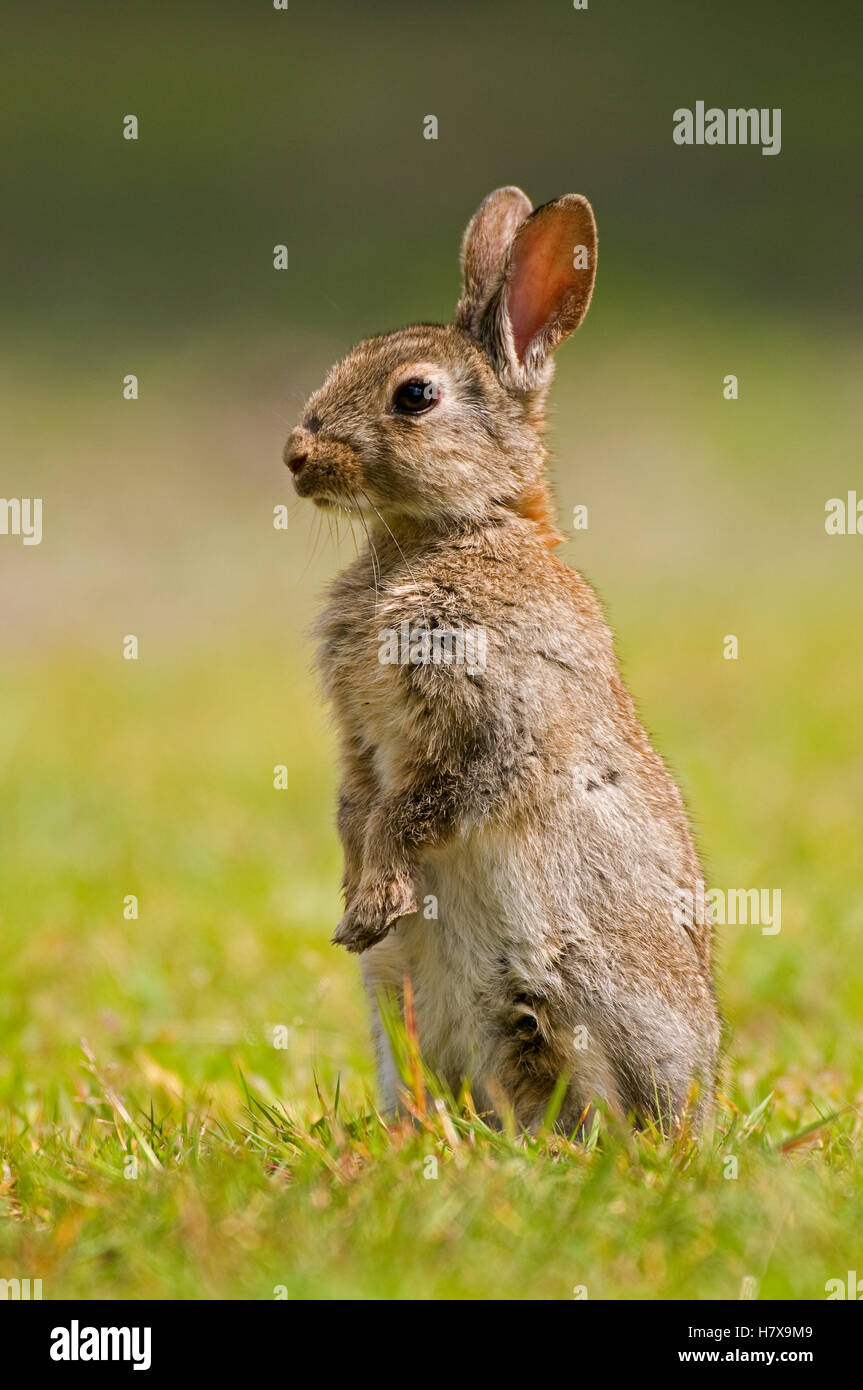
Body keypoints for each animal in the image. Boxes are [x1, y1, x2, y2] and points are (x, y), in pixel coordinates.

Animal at [283, 186, 720, 1133]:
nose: (296, 458)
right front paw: (354, 900)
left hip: (566, 986)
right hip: (397, 1001)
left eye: (415, 396)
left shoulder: (493, 721)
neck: (453, 530)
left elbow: (417, 806)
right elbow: (358, 804)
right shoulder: (359, 739)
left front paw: (374, 898)